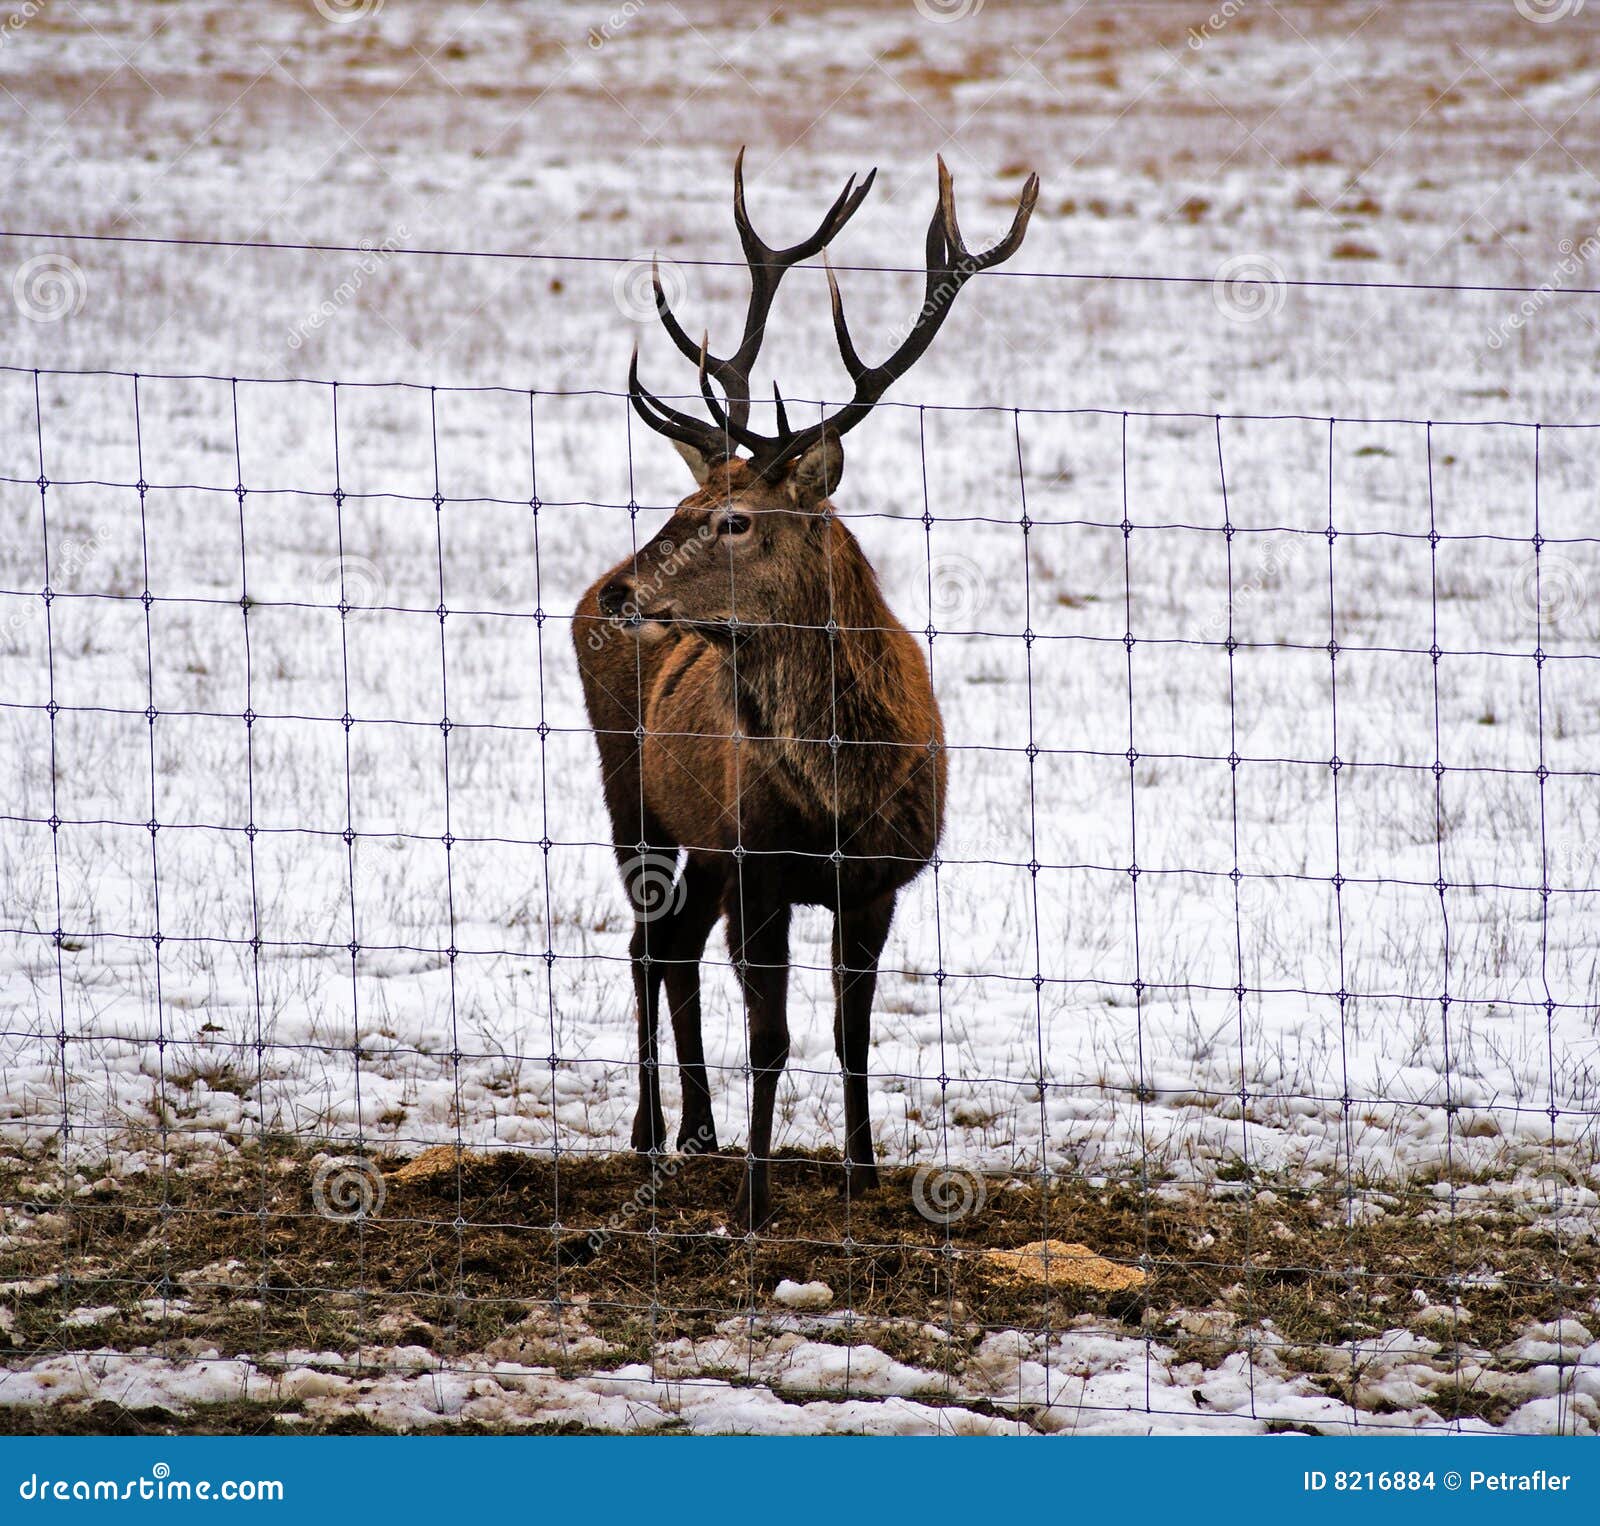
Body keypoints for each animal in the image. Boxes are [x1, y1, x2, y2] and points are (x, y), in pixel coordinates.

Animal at [573, 150, 1038, 1230]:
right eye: (683, 500)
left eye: (735, 518)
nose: (622, 596)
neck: (840, 792)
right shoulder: (762, 867)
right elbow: (773, 1037)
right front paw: (754, 1201)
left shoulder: (878, 883)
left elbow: (850, 1032)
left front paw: (863, 1174)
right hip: (631, 793)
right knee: (645, 944)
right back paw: (655, 1133)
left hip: (700, 839)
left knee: (675, 946)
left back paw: (697, 1130)